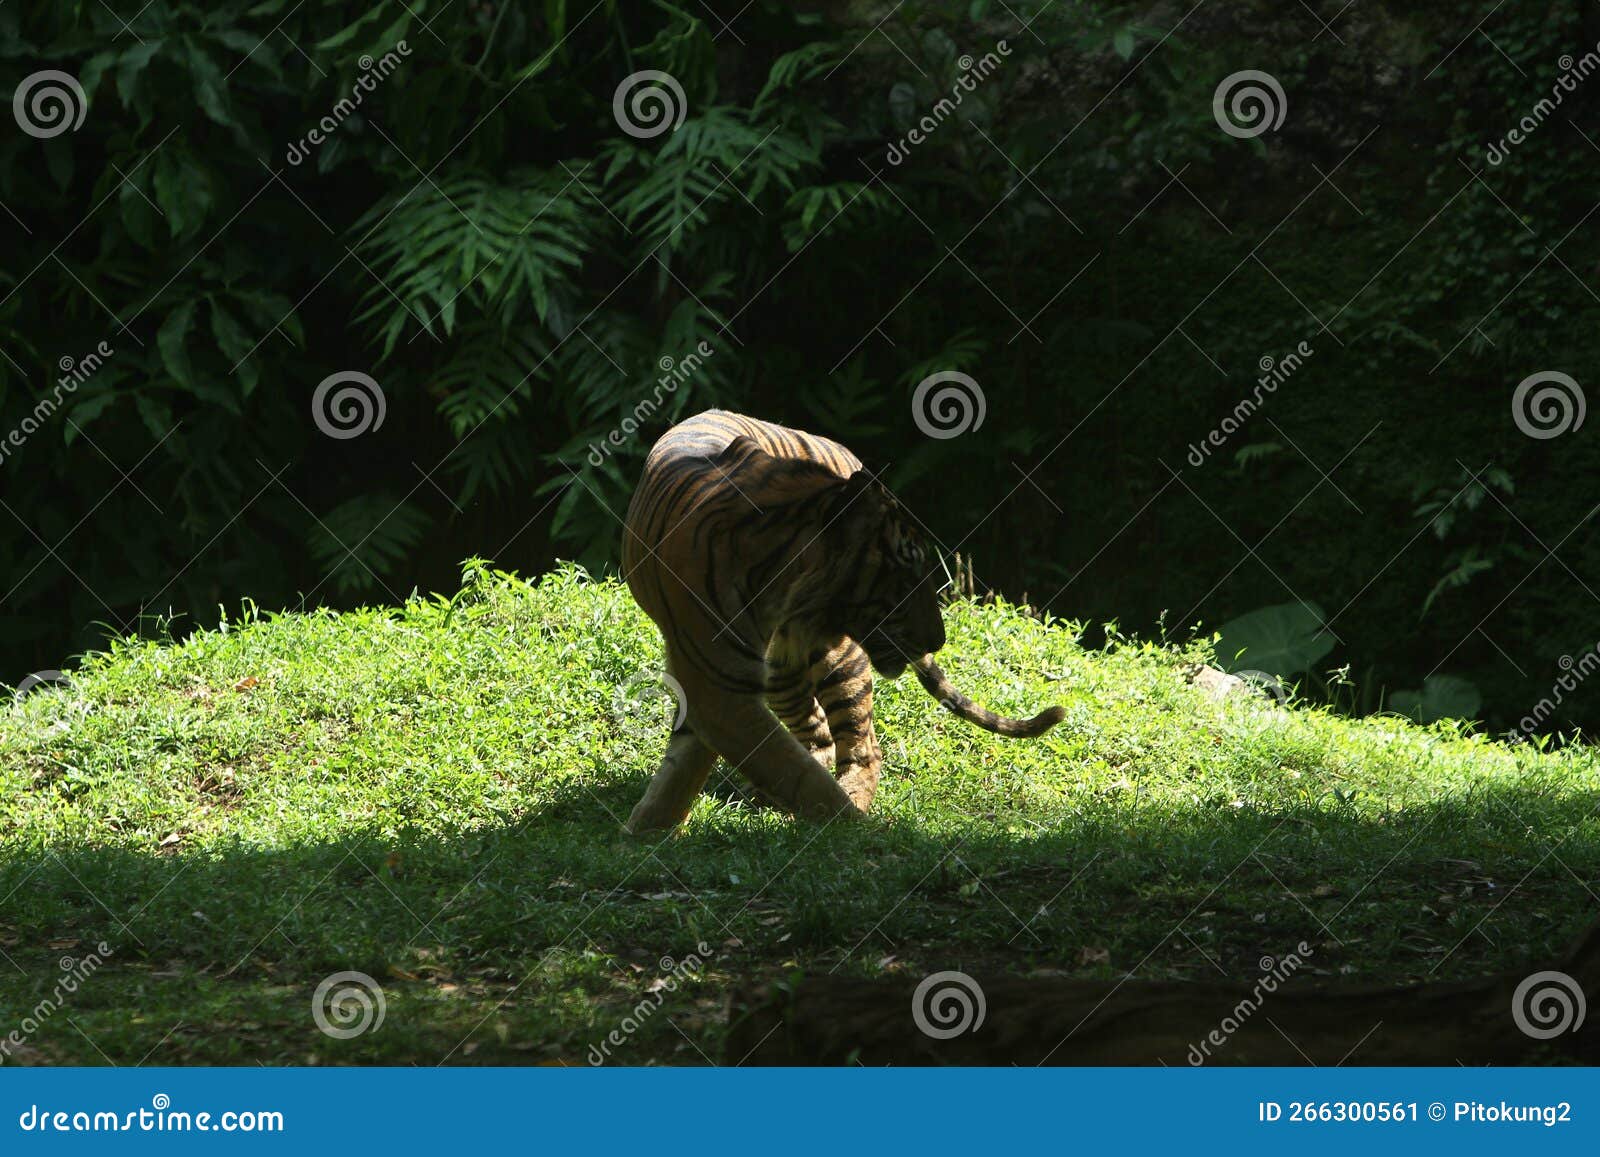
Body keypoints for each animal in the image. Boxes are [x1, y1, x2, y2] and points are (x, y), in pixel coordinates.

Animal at [619, 409, 1065, 833]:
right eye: (906, 576)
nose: (937, 641)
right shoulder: (715, 685)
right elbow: (710, 764)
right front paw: (648, 831)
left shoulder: (721, 690)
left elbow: (783, 768)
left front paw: (855, 828)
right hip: (784, 674)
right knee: (818, 736)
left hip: (838, 658)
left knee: (863, 747)